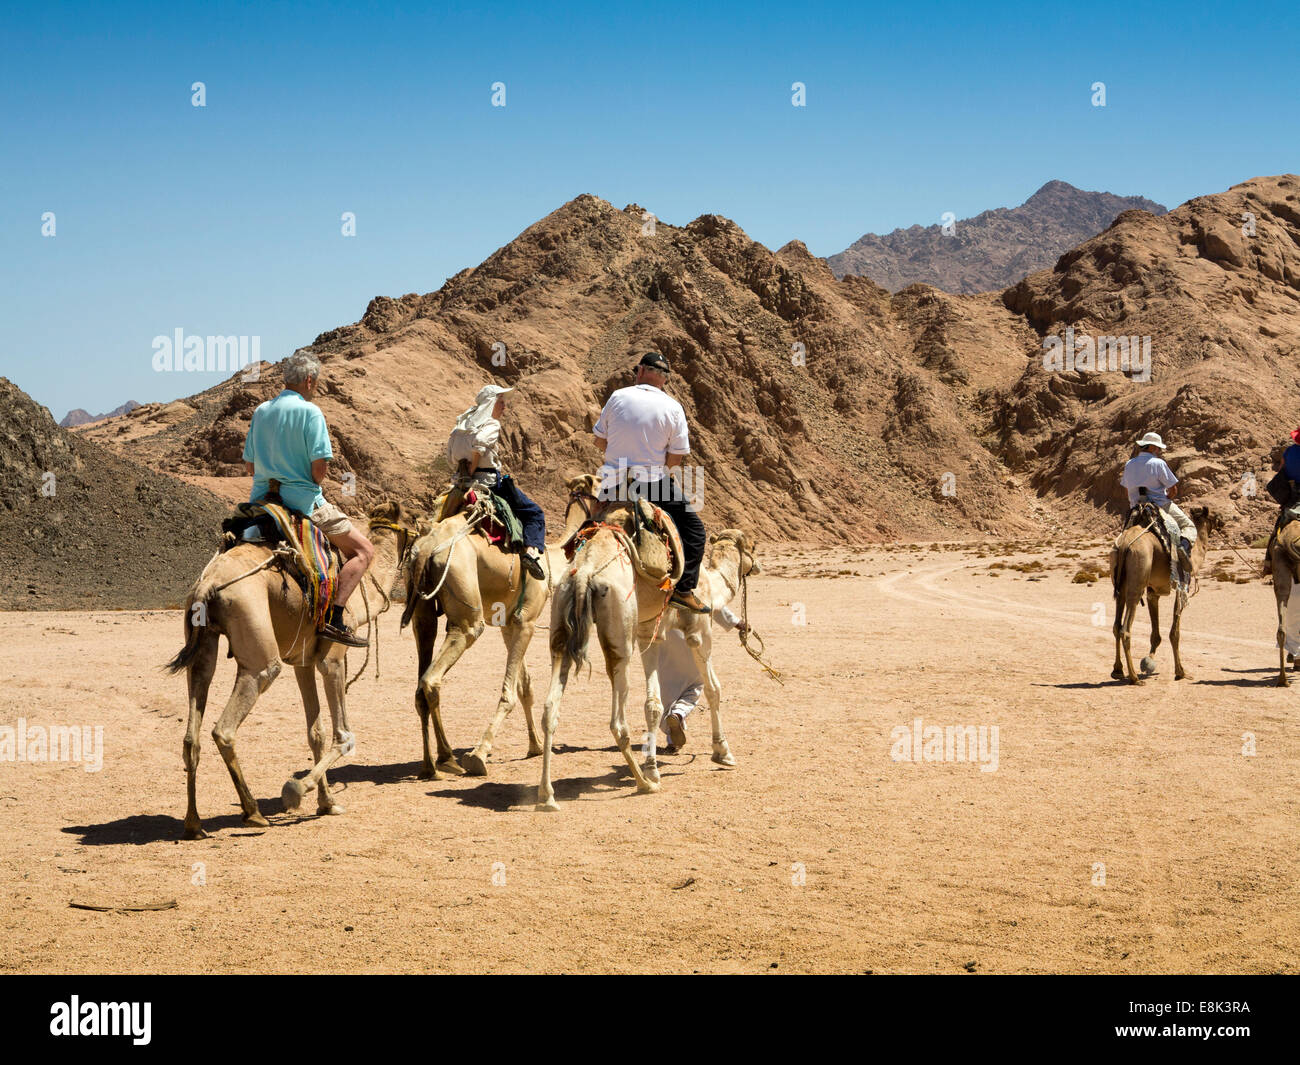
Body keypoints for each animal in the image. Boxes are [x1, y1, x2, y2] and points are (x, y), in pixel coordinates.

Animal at [165, 500, 422, 838]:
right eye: (415, 518)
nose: (426, 531)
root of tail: (207, 585)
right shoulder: (332, 659)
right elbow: (343, 733)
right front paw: (297, 789)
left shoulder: (303, 662)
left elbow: (316, 733)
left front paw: (327, 803)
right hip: (259, 652)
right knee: (227, 726)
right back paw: (253, 812)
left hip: (201, 642)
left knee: (191, 731)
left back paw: (194, 823)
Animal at [534, 474, 759, 812]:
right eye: (752, 546)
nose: (756, 565)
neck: (713, 583)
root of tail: (585, 573)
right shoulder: (698, 630)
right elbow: (713, 689)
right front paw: (723, 752)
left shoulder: (648, 633)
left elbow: (653, 703)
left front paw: (653, 764)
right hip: (619, 635)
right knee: (617, 721)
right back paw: (643, 784)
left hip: (561, 621)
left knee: (550, 709)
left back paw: (546, 796)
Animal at [1109, 504, 1210, 684]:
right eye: (1213, 519)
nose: (1221, 524)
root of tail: (1125, 544)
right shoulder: (1181, 586)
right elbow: (1174, 633)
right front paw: (1180, 672)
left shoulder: (1152, 592)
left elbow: (1156, 634)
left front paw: (1148, 661)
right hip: (1137, 580)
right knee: (1125, 629)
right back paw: (1134, 678)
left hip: (1119, 581)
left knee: (1116, 625)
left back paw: (1118, 670)